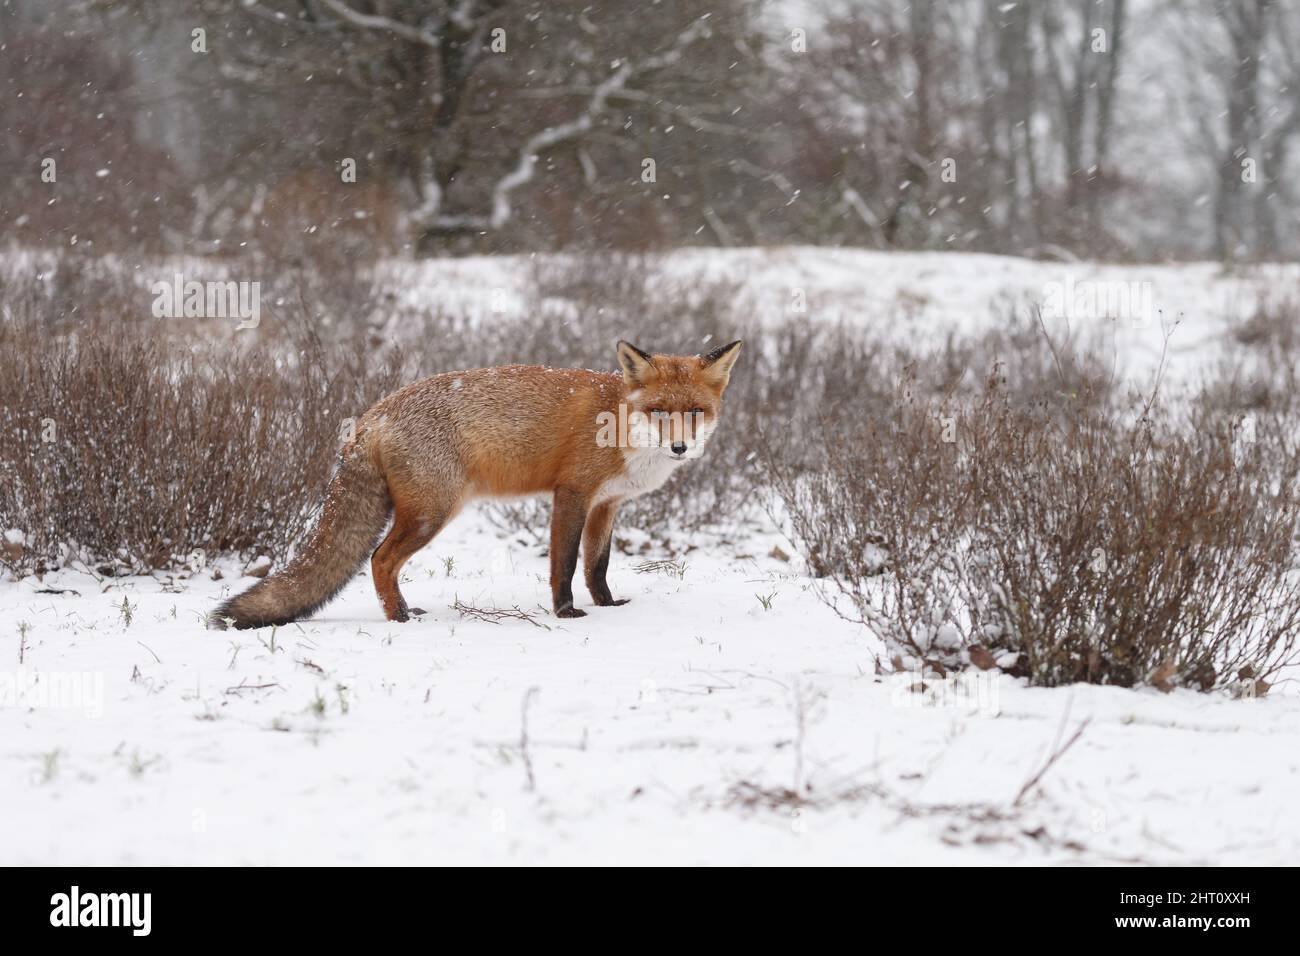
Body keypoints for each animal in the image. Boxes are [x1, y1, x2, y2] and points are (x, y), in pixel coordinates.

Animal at [209, 339, 742, 630]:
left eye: (695, 412)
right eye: (659, 412)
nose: (680, 448)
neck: (621, 427)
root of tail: (371, 416)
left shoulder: (607, 504)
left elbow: (597, 565)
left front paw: (609, 605)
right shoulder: (571, 494)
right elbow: (565, 563)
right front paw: (566, 612)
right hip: (432, 514)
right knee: (380, 560)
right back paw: (399, 619)